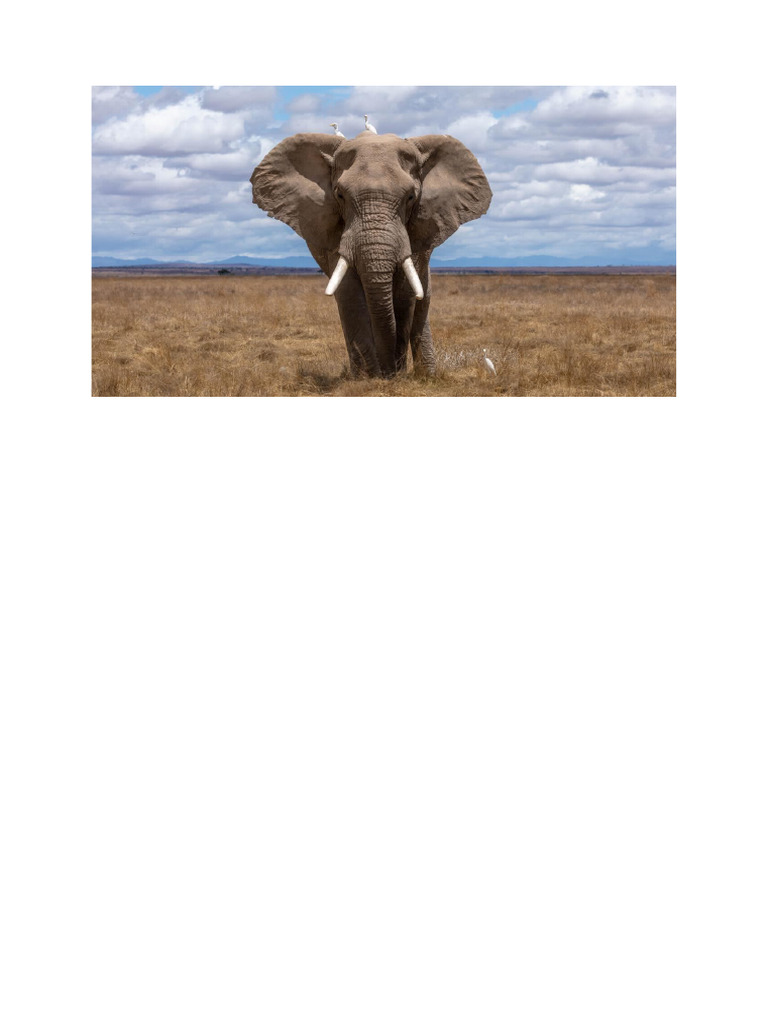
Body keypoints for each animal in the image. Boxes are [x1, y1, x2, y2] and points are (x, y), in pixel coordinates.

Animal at [249, 131, 492, 378]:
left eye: (411, 197)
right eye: (340, 195)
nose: (389, 372)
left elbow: (405, 294)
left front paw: (395, 375)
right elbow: (349, 293)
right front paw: (368, 378)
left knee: (422, 299)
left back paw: (427, 375)